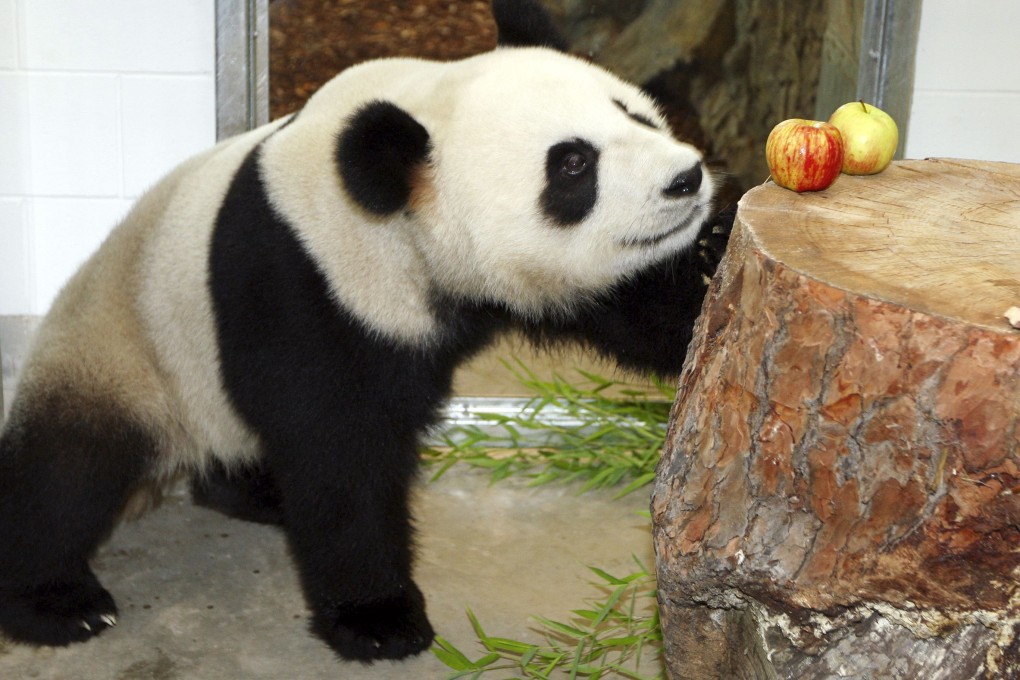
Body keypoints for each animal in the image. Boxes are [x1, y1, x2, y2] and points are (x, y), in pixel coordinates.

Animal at [0, 0, 724, 664]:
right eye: (572, 164)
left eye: (633, 113)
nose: (686, 178)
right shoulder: (303, 277)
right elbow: (337, 448)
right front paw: (379, 620)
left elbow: (652, 315)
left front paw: (716, 248)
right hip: (125, 349)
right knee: (67, 473)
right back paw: (58, 604)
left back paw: (256, 490)